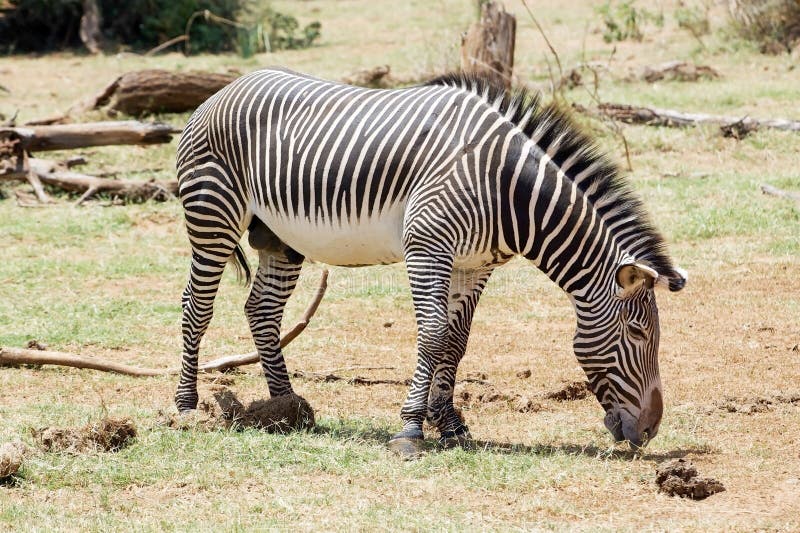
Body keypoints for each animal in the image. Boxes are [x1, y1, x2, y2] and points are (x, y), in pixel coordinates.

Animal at [175, 67, 687, 452]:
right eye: (638, 333)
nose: (650, 431)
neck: (503, 188)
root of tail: (224, 89)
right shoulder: (427, 248)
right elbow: (433, 334)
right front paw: (410, 429)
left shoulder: (474, 264)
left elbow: (456, 342)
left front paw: (451, 425)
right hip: (213, 214)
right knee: (196, 307)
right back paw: (186, 407)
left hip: (278, 236)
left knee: (261, 310)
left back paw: (288, 408)